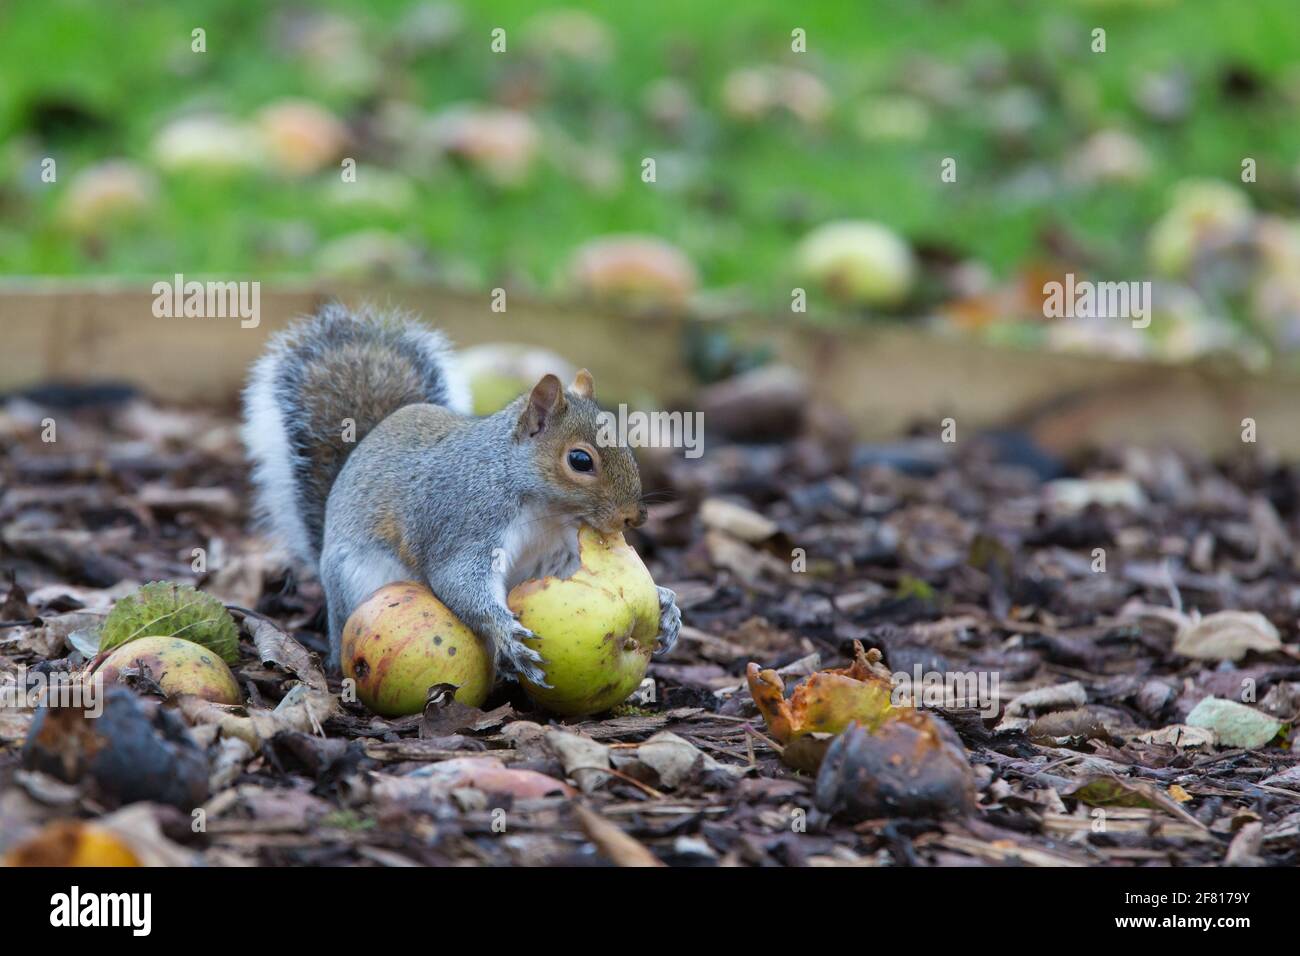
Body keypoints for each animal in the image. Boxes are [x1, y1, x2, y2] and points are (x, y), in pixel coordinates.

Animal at [241, 303, 681, 684]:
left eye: (625, 442)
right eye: (580, 460)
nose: (634, 517)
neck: (543, 508)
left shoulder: (556, 551)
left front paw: (665, 602)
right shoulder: (467, 519)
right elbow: (458, 579)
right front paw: (506, 633)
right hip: (361, 581)